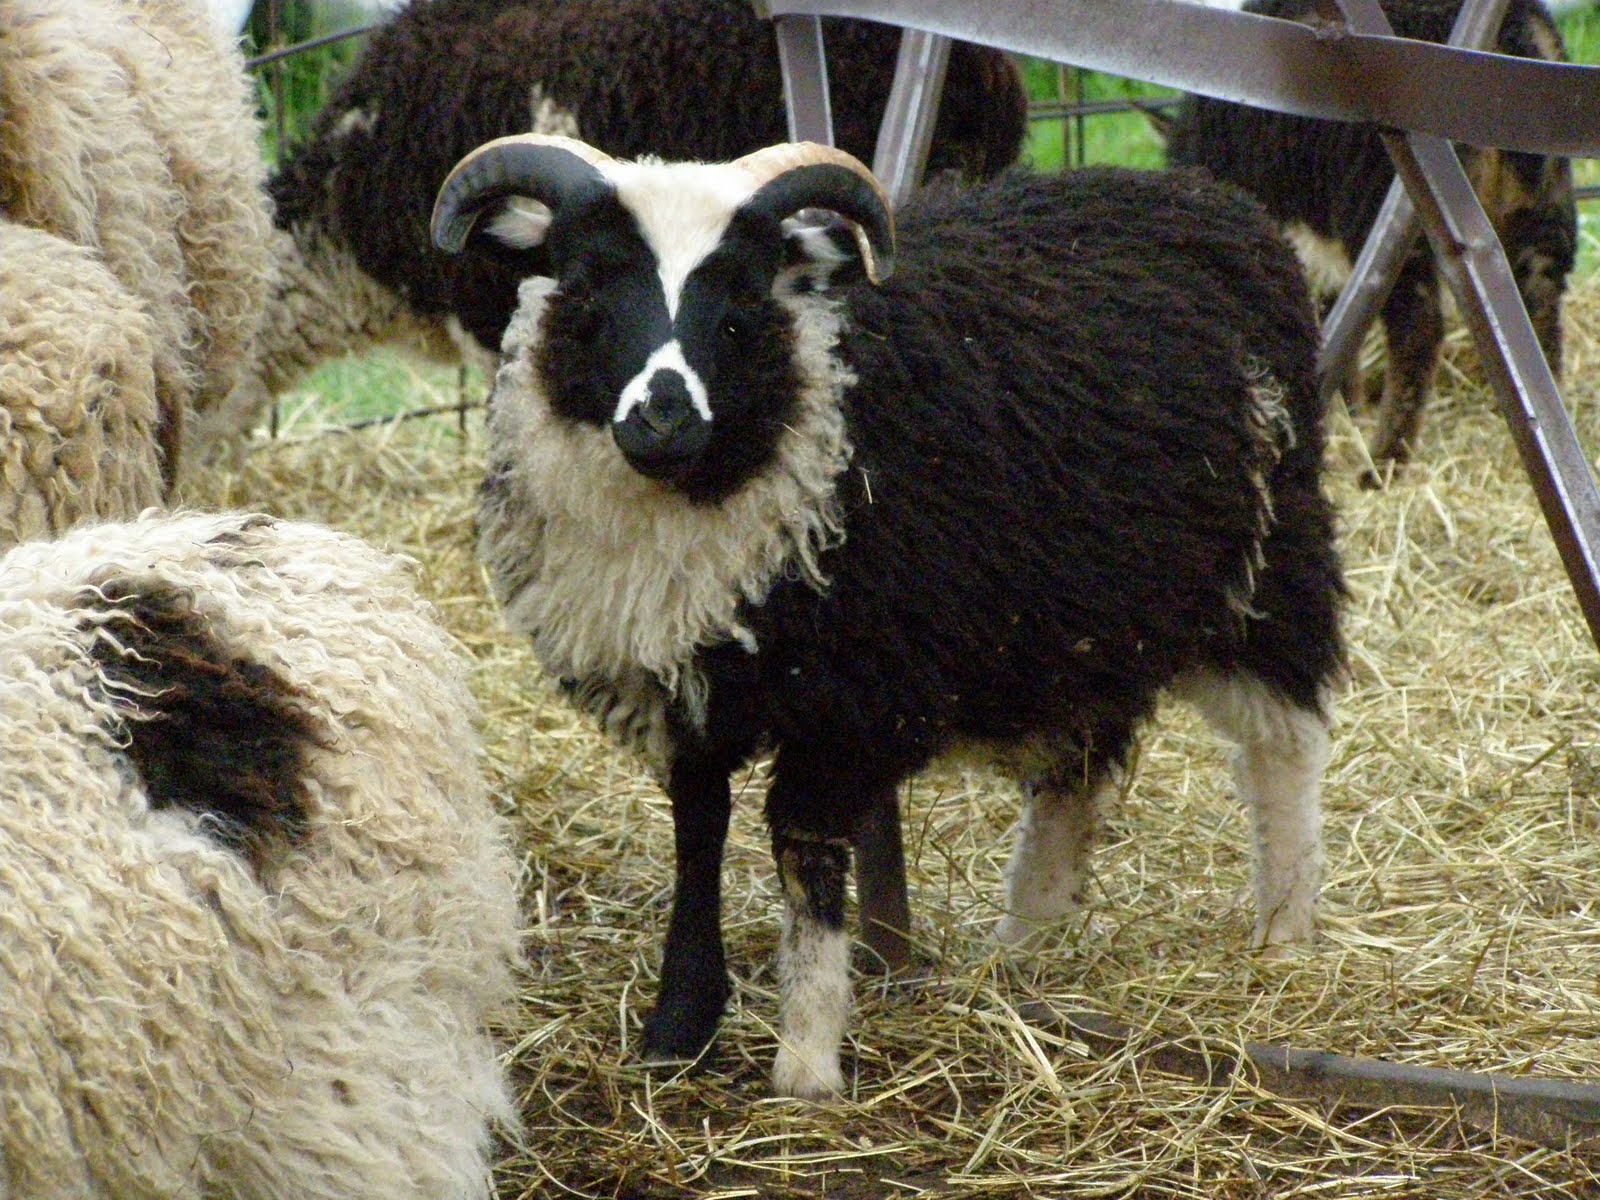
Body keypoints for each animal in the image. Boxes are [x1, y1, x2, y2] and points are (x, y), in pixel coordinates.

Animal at [431, 134, 1348, 1098]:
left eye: (740, 309)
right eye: (593, 295)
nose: (664, 416)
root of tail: (1207, 199)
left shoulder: (850, 698)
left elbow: (804, 848)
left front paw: (806, 1055)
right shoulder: (695, 689)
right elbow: (698, 832)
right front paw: (678, 1028)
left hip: (1266, 555)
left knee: (1286, 741)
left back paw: (1284, 930)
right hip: (1081, 608)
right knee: (1080, 762)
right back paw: (1029, 939)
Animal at [1164, 0, 1576, 477]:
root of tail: (1511, 35)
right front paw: (1350, 413)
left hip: (1389, 206)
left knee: (1419, 327)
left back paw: (1384, 461)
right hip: (1542, 204)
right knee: (1542, 300)